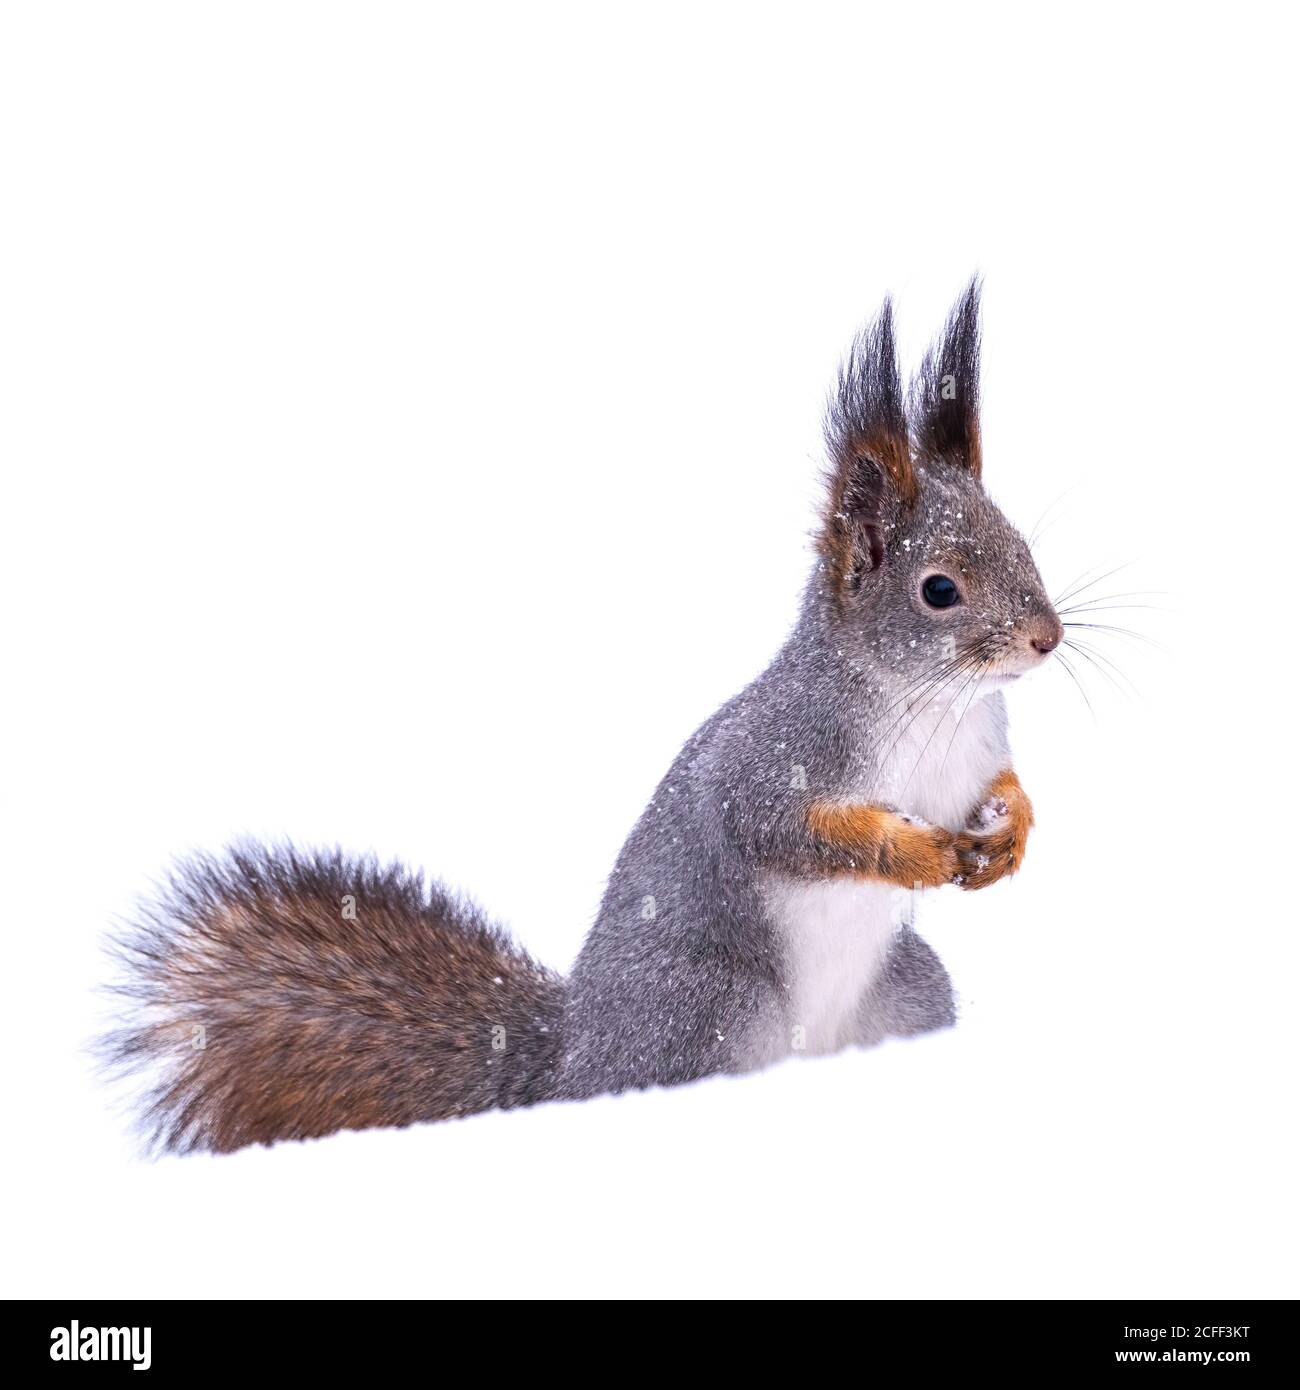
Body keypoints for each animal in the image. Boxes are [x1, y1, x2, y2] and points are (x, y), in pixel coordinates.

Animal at [104, 279, 1063, 1154]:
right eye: (939, 590)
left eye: (1023, 544)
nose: (1048, 639)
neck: (930, 701)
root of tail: (572, 1066)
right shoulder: (775, 756)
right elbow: (786, 830)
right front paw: (916, 852)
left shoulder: (974, 760)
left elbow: (1005, 791)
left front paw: (1009, 836)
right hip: (711, 1007)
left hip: (909, 993)